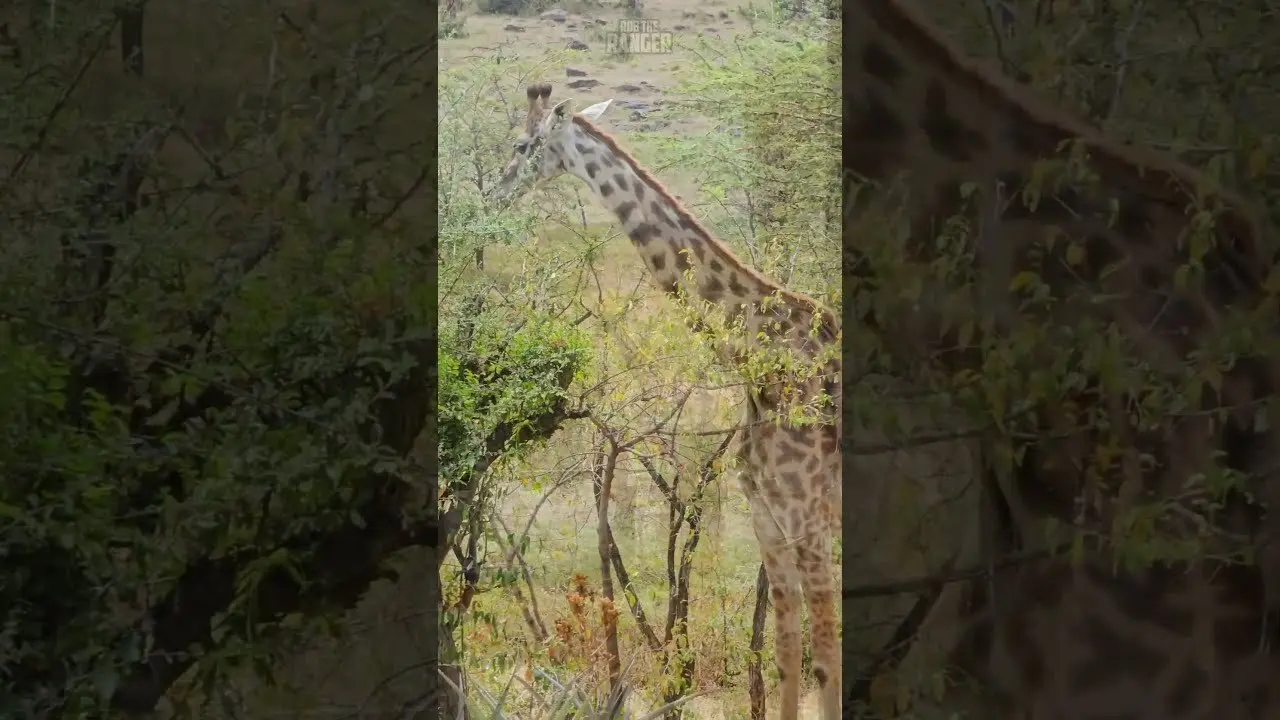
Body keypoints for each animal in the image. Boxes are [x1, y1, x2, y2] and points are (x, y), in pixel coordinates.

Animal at [492, 83, 842, 720]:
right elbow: (785, 659)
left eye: (524, 145)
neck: (754, 349)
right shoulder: (768, 519)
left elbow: (825, 663)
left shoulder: (807, 515)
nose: (496, 190)